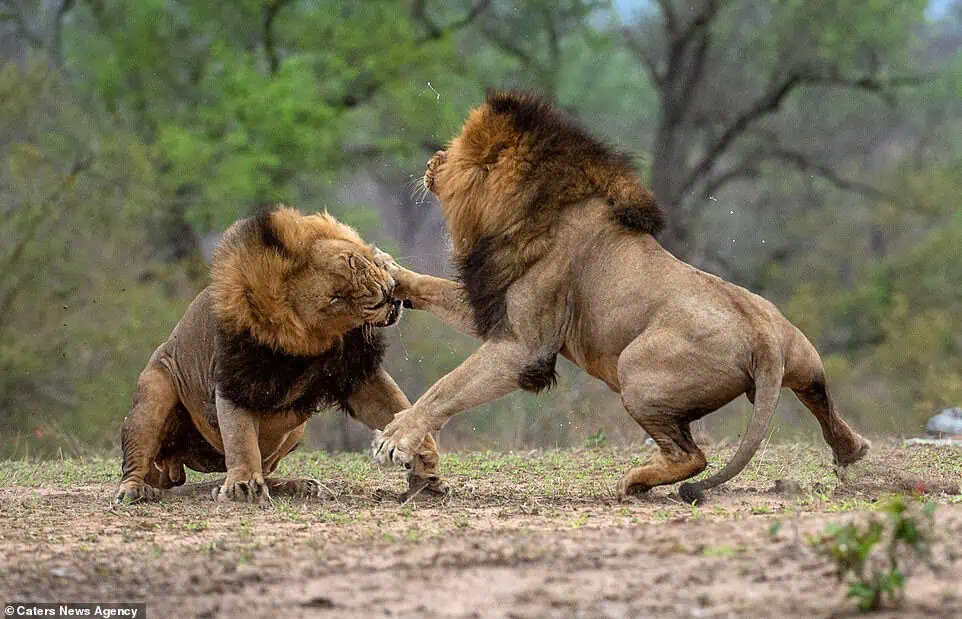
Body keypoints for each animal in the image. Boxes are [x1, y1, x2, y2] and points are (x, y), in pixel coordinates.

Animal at [115, 206, 446, 504]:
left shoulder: (356, 374)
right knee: (136, 460)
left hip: (294, 432)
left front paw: (423, 465)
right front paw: (243, 486)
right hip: (154, 391)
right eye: (335, 299)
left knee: (266, 470)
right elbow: (240, 438)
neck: (314, 346)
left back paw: (299, 486)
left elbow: (396, 407)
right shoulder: (237, 380)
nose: (380, 298)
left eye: (353, 261)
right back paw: (135, 491)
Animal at [373, 91, 870, 503]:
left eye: (453, 151)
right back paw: (852, 452)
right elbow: (431, 289)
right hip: (804, 357)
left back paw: (635, 482)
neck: (524, 209)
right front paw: (387, 272)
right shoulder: (495, 307)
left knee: (694, 457)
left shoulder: (523, 347)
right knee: (821, 401)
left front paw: (395, 439)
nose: (432, 160)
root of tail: (764, 339)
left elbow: (447, 387)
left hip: (636, 371)